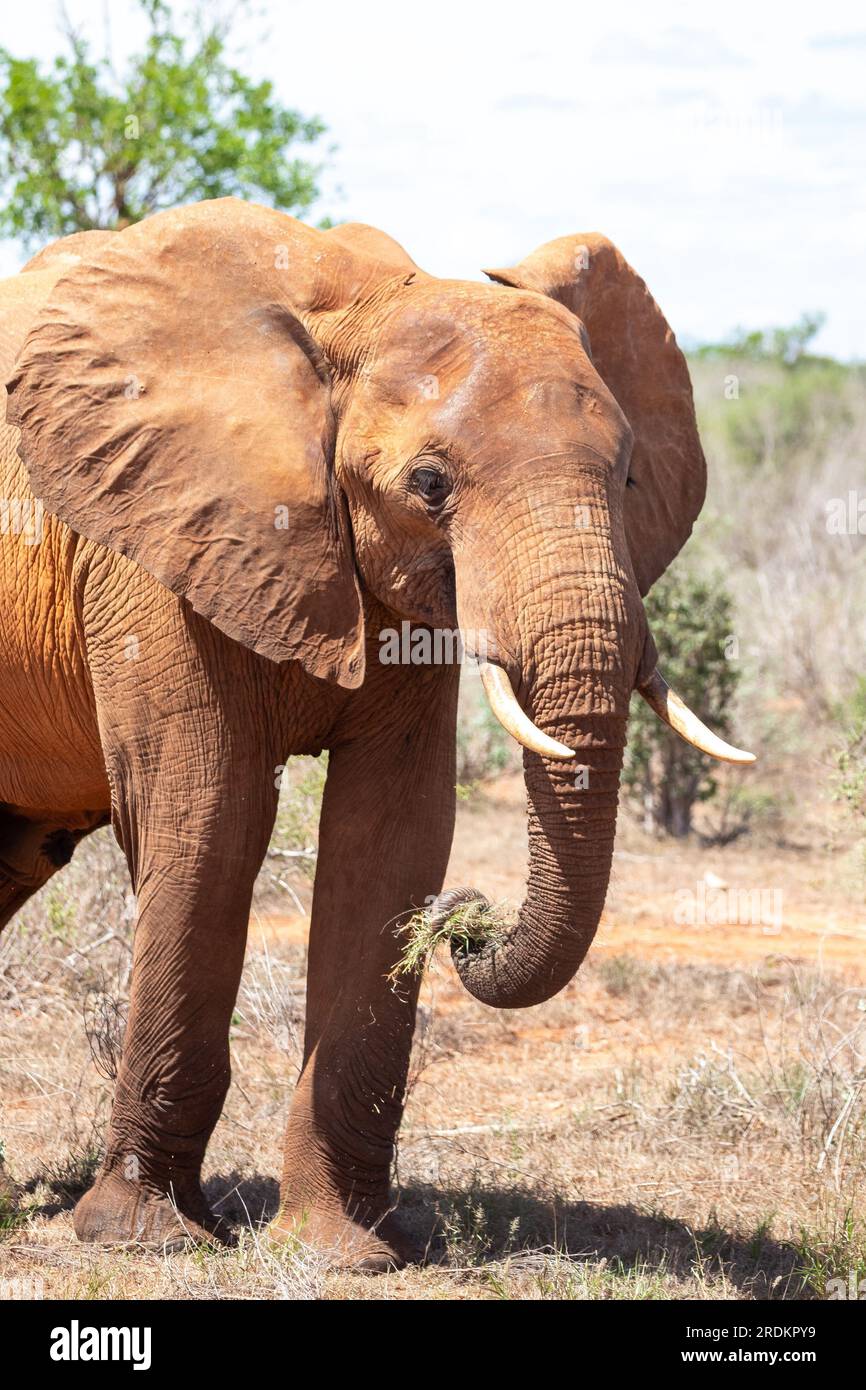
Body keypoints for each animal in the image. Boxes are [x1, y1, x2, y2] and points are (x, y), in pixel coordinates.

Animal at [0, 199, 753, 1270]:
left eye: (628, 475)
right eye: (430, 484)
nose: (470, 926)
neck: (351, 315)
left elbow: (390, 838)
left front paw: (342, 1252)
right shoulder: (145, 546)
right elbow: (208, 823)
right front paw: (145, 1240)